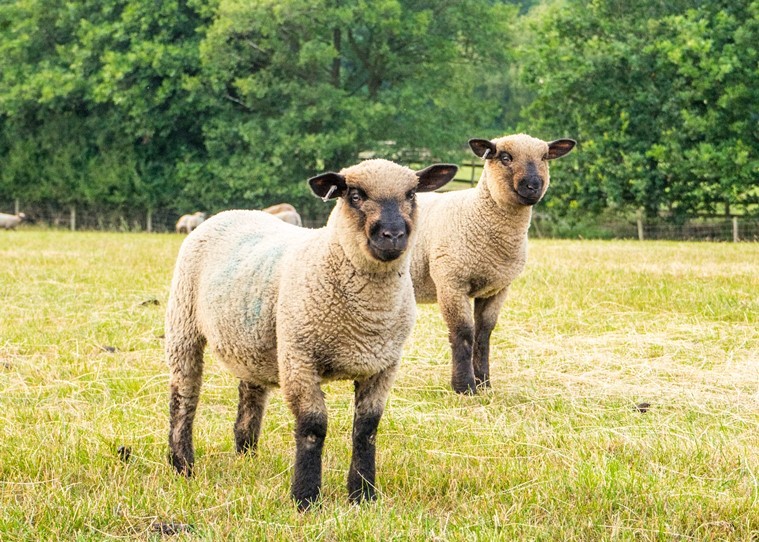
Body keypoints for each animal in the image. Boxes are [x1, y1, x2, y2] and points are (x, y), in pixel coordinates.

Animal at [165, 158, 457, 510]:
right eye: (354, 195)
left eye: (412, 193)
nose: (393, 235)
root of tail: (229, 213)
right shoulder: (299, 358)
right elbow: (312, 427)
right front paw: (305, 497)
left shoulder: (383, 365)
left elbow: (367, 429)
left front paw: (363, 495)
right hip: (183, 324)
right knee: (184, 396)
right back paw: (182, 465)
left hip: (253, 339)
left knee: (250, 393)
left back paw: (246, 455)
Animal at [410, 133, 576, 394]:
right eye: (505, 157)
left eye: (544, 157)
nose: (533, 185)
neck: (475, 213)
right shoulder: (451, 283)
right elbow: (463, 333)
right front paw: (465, 387)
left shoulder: (497, 288)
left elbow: (484, 333)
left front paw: (484, 382)